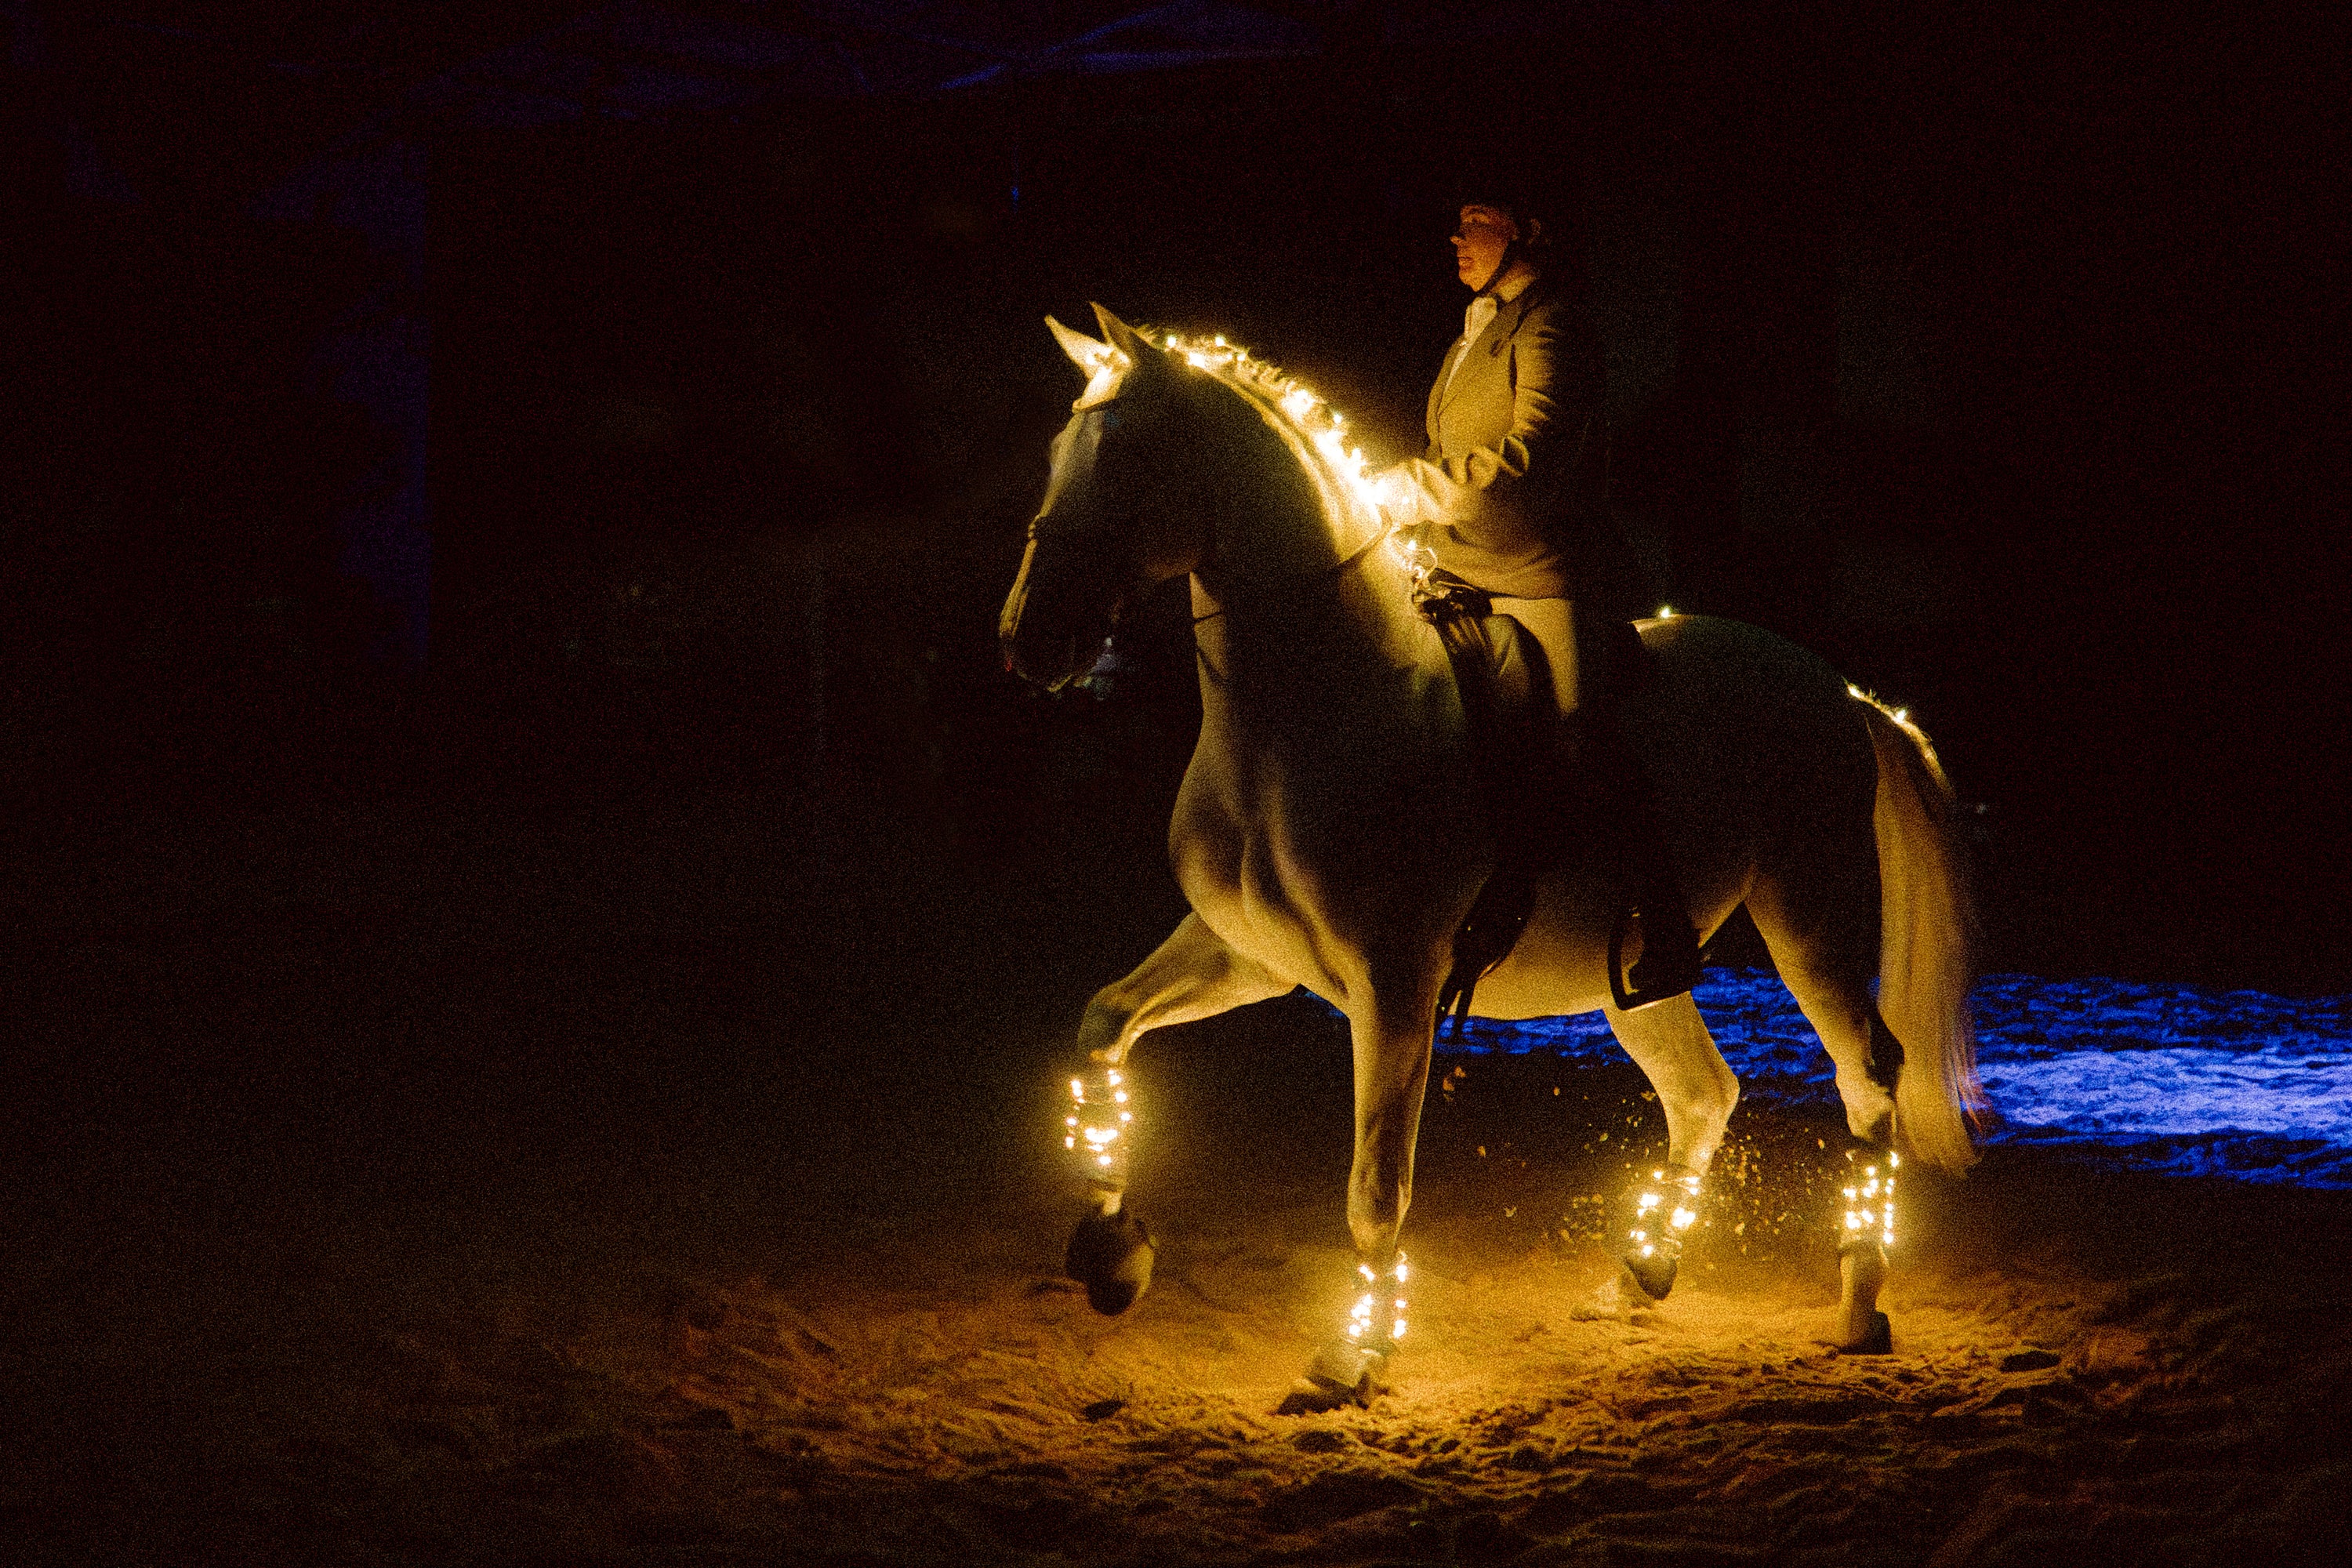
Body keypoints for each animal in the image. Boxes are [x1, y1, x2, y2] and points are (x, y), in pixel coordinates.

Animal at [1000, 304, 1983, 1400]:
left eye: (1125, 458)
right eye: (1056, 454)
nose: (1025, 639)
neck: (1317, 708)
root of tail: (1842, 690)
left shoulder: (1395, 984)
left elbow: (1376, 1186)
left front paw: (1348, 1355)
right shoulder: (1246, 953)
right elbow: (1103, 1030)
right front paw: (1113, 1253)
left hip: (1807, 918)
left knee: (1868, 1075)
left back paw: (1857, 1305)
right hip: (1639, 968)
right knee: (1704, 1091)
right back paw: (1639, 1273)